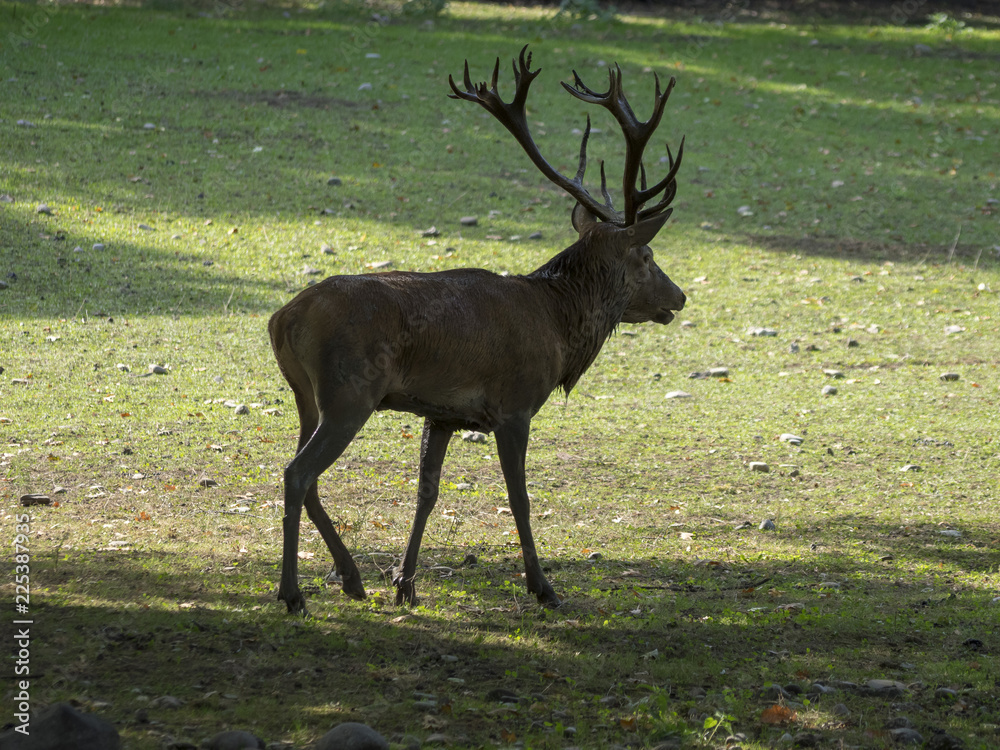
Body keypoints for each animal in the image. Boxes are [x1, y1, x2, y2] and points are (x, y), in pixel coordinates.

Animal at [268, 46, 686, 614]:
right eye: (647, 255)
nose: (679, 297)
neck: (558, 328)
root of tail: (282, 318)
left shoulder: (441, 413)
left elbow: (426, 493)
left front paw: (405, 583)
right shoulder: (514, 405)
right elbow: (520, 497)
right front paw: (543, 587)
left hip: (305, 396)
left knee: (303, 472)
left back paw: (353, 578)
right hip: (348, 393)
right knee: (298, 473)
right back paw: (292, 593)